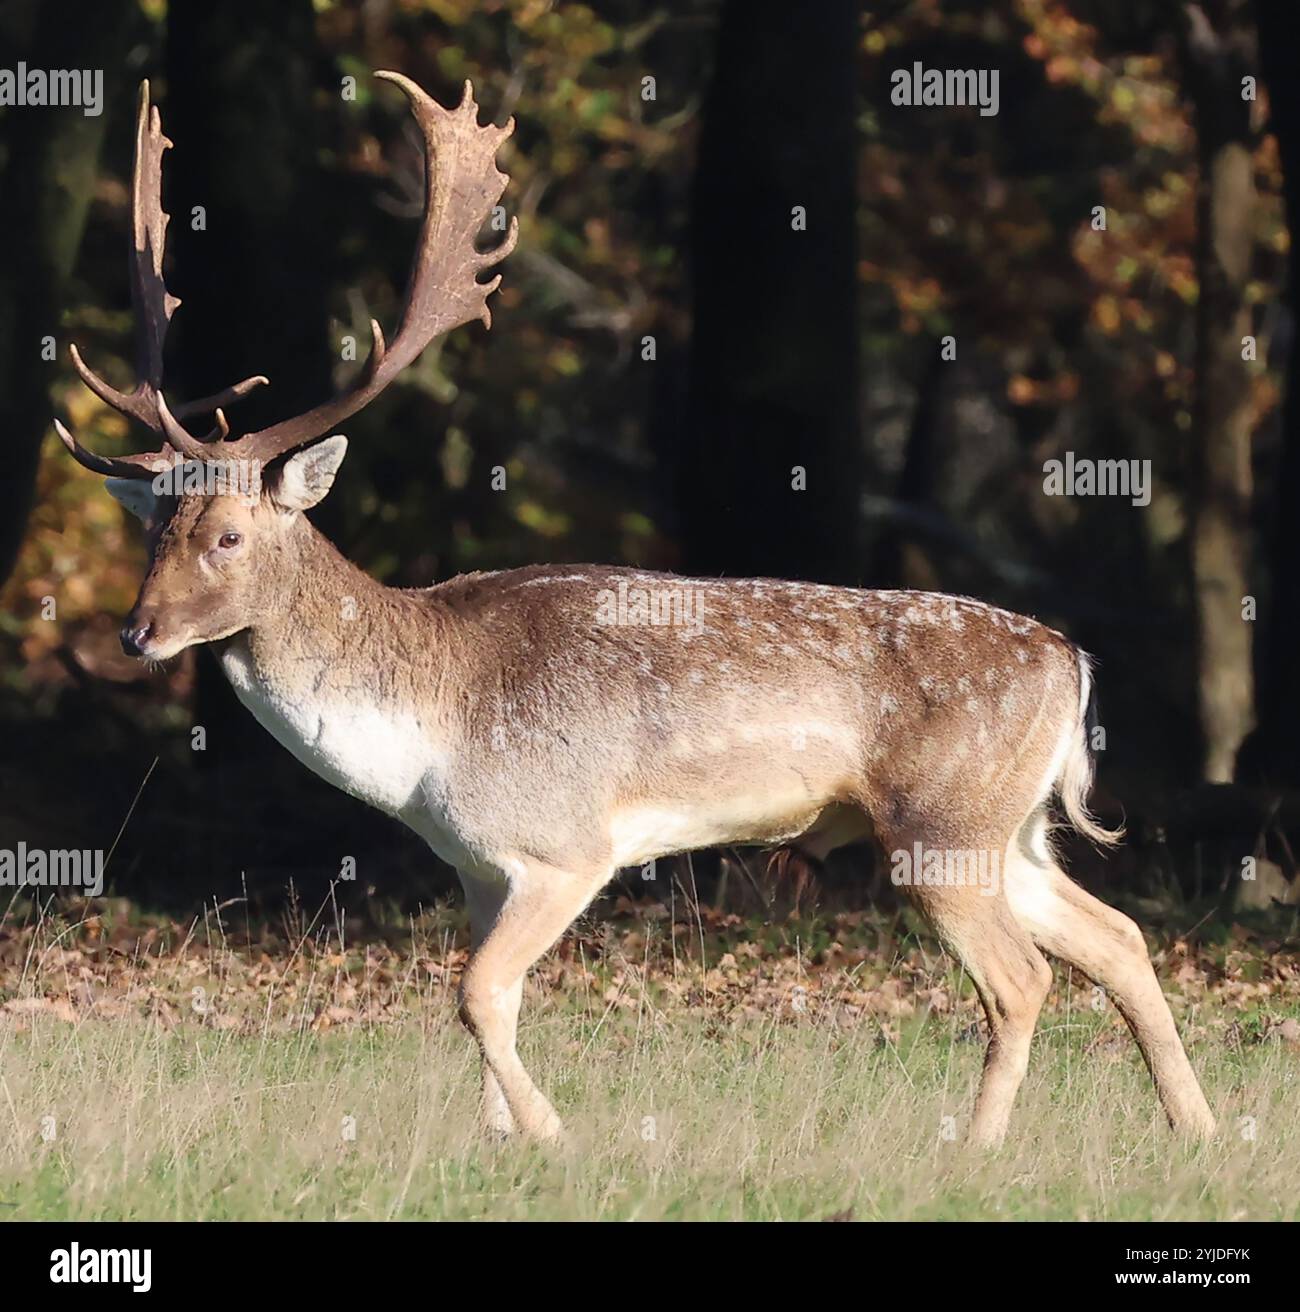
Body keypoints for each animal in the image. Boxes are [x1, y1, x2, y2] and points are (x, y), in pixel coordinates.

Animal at [57, 73, 1216, 1148]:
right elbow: (494, 1001)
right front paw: (502, 1140)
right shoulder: (477, 867)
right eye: (153, 531)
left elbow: (477, 994)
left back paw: (975, 1148)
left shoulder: (565, 844)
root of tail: (1071, 661)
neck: (427, 732)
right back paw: (1193, 1128)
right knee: (1118, 935)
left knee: (1023, 978)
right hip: (1011, 828)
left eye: (227, 536)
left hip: (945, 825)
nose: (137, 632)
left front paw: (553, 1135)